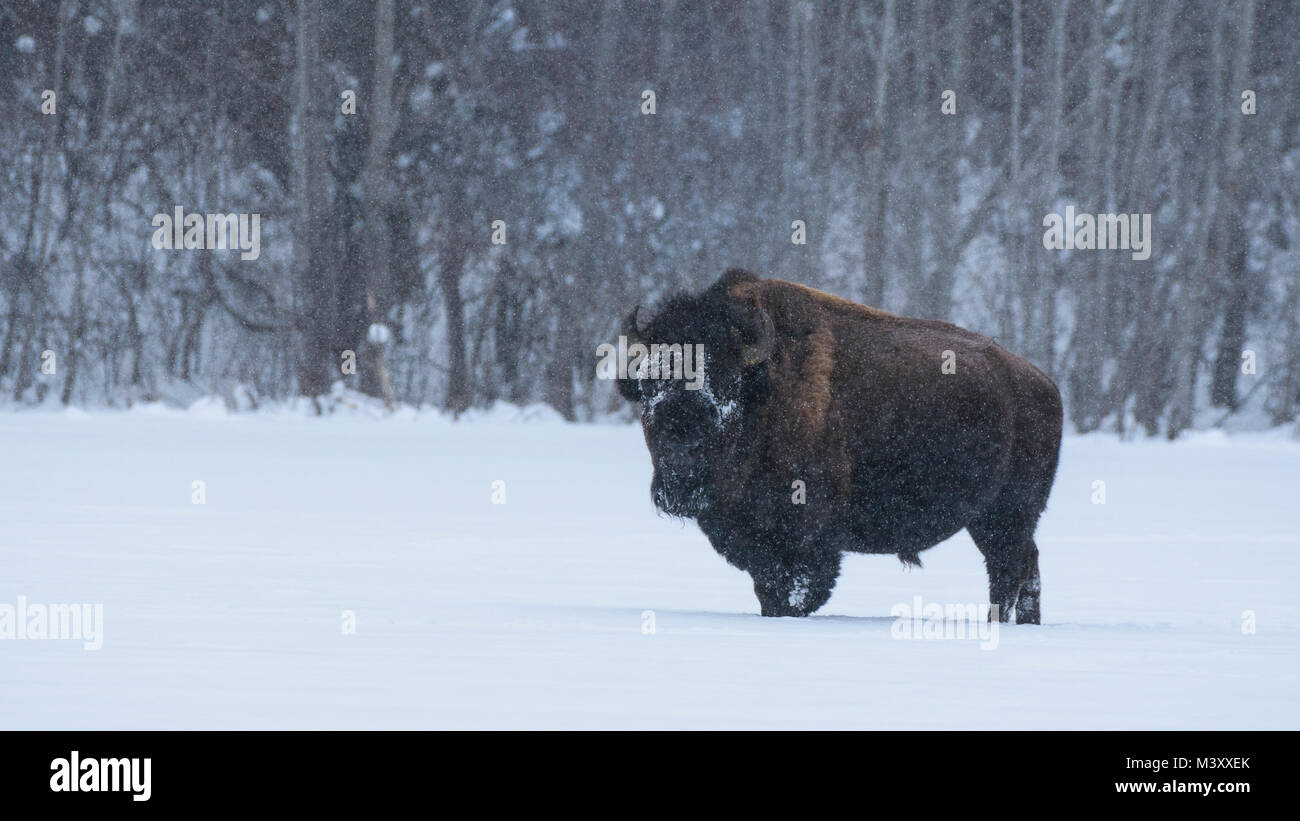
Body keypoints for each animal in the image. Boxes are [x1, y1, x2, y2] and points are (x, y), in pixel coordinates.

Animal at [618, 269, 1063, 622]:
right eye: (648, 385)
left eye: (724, 383)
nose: (680, 462)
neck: (764, 391)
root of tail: (1043, 384)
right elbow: (768, 591)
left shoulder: (804, 541)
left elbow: (793, 593)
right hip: (997, 519)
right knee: (1027, 567)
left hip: (1006, 515)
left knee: (1008, 570)